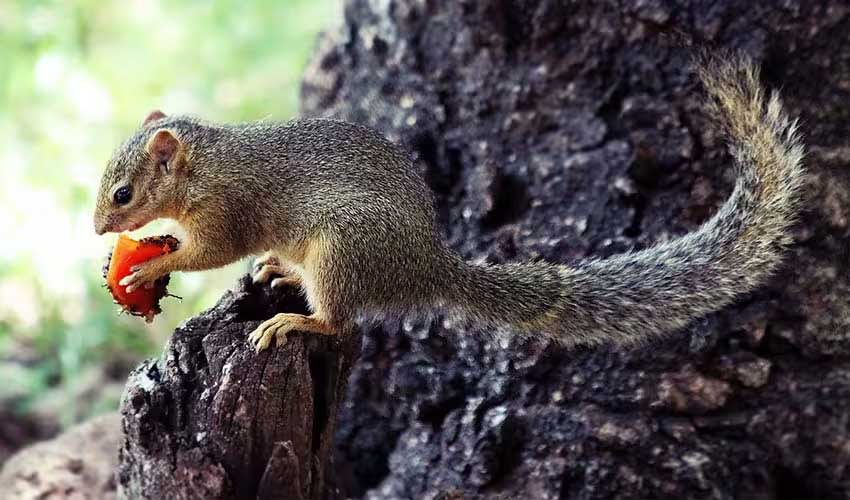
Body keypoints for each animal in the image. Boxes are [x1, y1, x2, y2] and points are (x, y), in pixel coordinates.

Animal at [93, 54, 804, 352]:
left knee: (341, 323)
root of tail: (429, 267)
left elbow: (210, 252)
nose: (100, 228)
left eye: (123, 193)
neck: (204, 163)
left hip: (343, 250)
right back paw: (280, 273)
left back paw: (295, 321)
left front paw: (151, 263)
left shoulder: (227, 209)